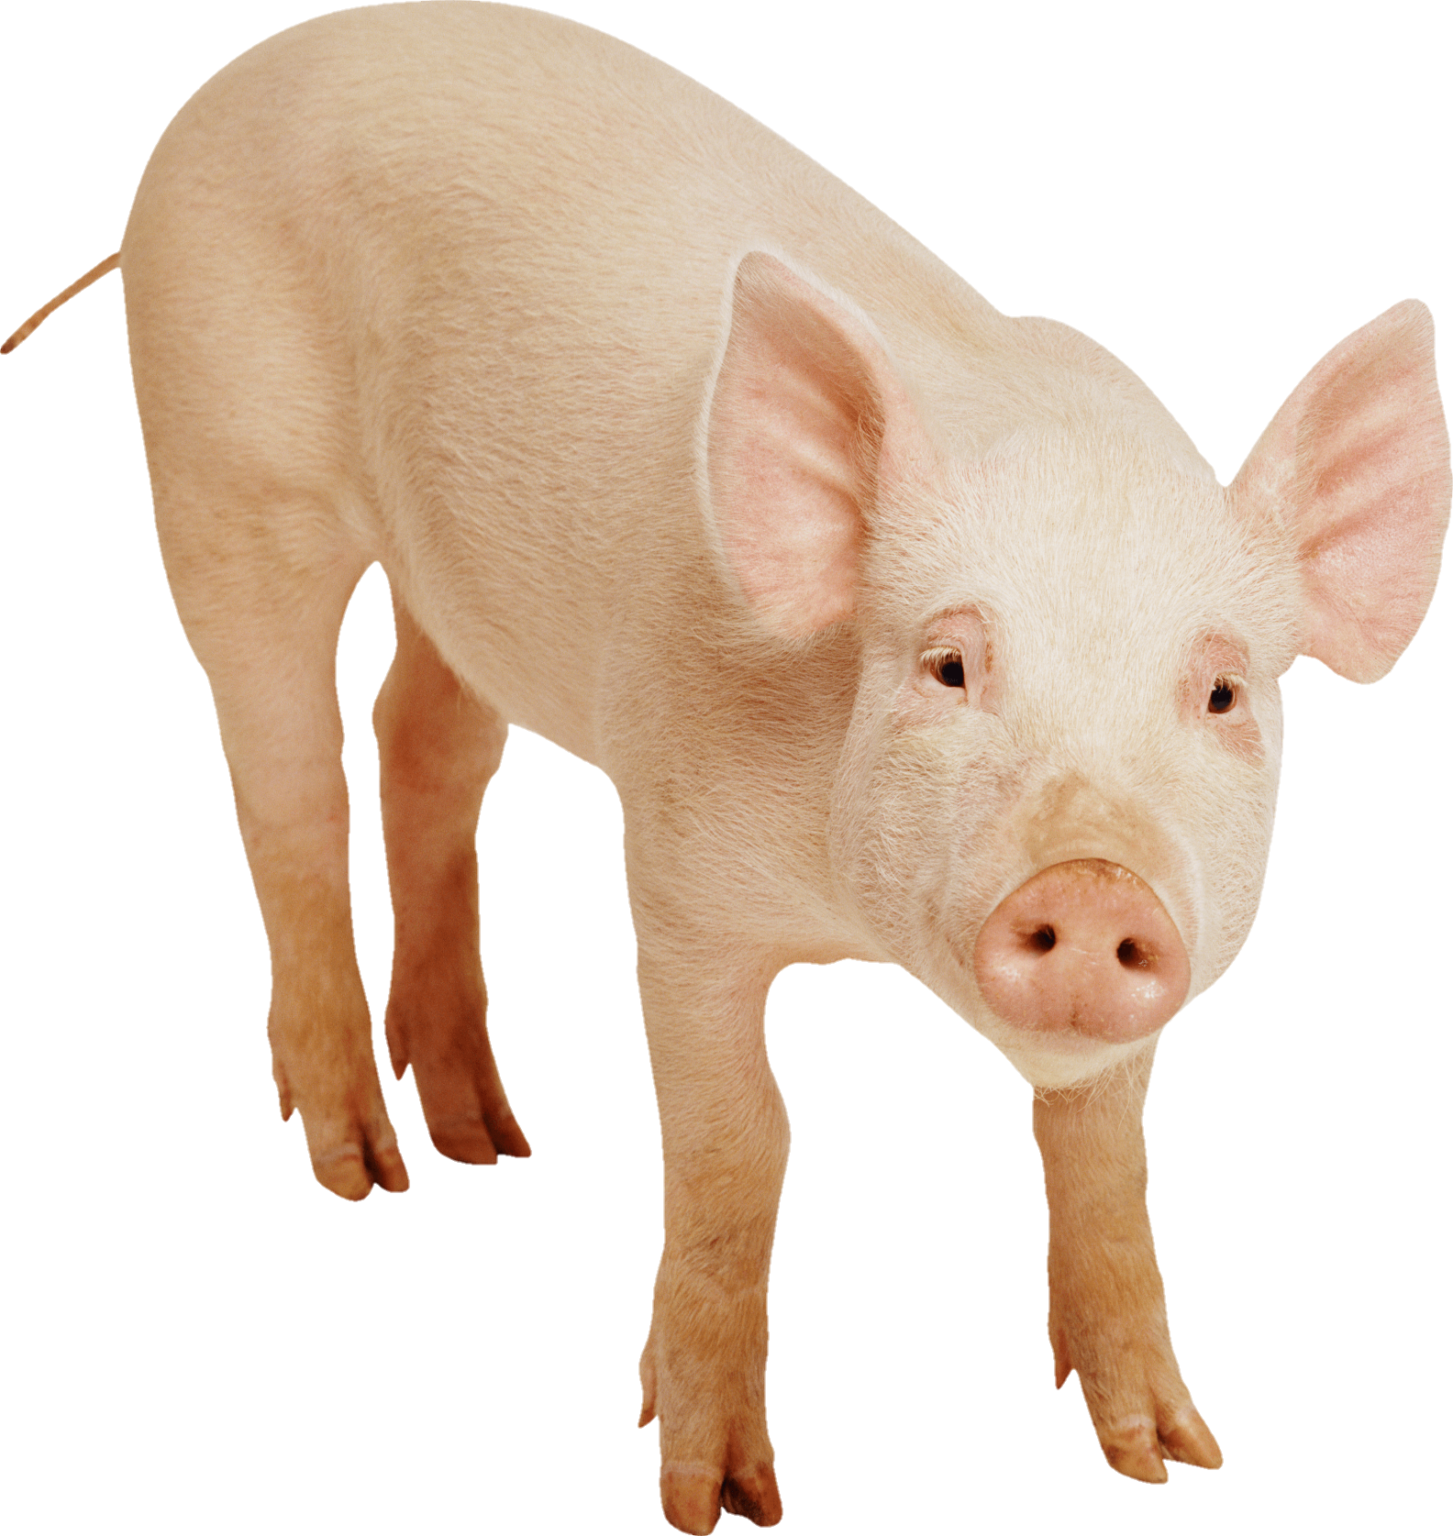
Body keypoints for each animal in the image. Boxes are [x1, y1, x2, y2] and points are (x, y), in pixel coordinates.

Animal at [5, 4, 1448, 1531]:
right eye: (947, 665)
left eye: (1222, 692)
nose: (1096, 880)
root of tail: (237, 77)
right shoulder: (677, 868)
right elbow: (742, 1138)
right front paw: (714, 1500)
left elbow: (1104, 1151)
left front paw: (1169, 1455)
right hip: (220, 467)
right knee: (283, 771)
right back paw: (366, 1169)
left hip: (461, 581)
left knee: (423, 741)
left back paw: (484, 1135)